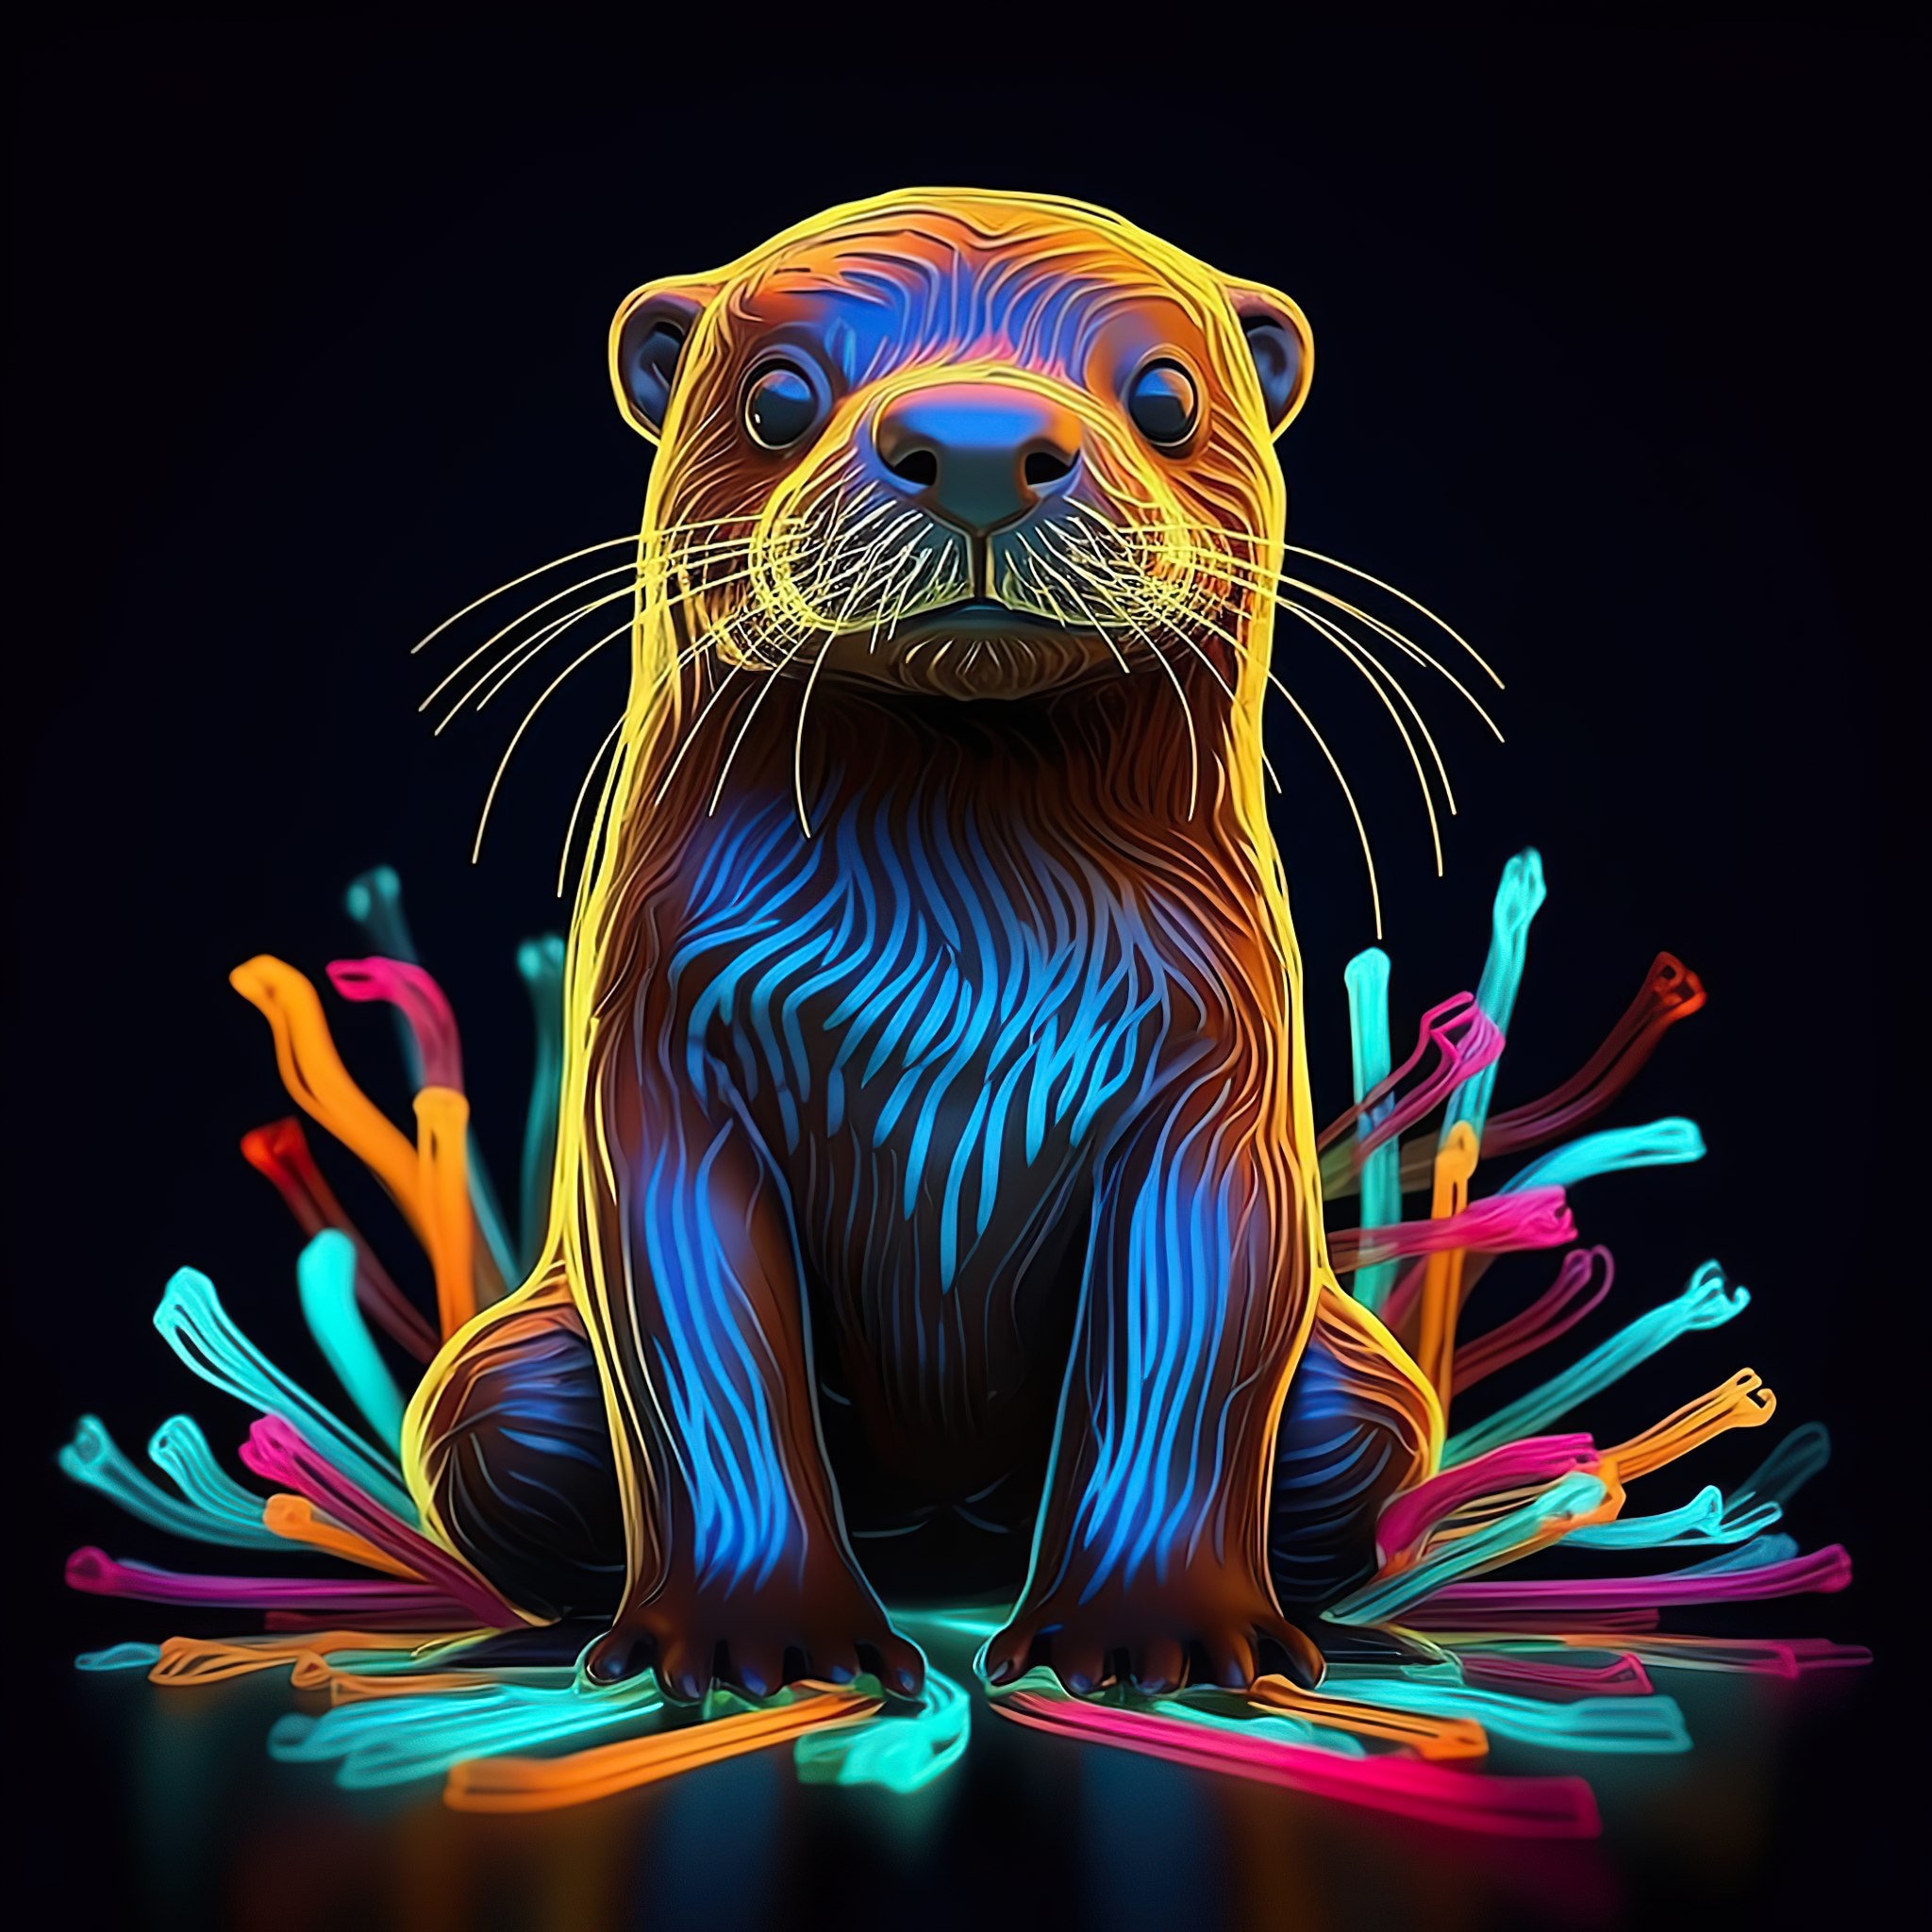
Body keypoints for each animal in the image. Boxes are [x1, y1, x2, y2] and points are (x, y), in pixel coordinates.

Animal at [404, 189, 1442, 1706]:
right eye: (778, 396)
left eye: (1167, 395)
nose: (976, 440)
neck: (956, 954)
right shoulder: (657, 1050)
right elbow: (703, 1347)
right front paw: (755, 1640)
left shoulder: (1221, 1068)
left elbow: (1190, 1340)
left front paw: (1159, 1637)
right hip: (506, 1386)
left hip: (1356, 1397)